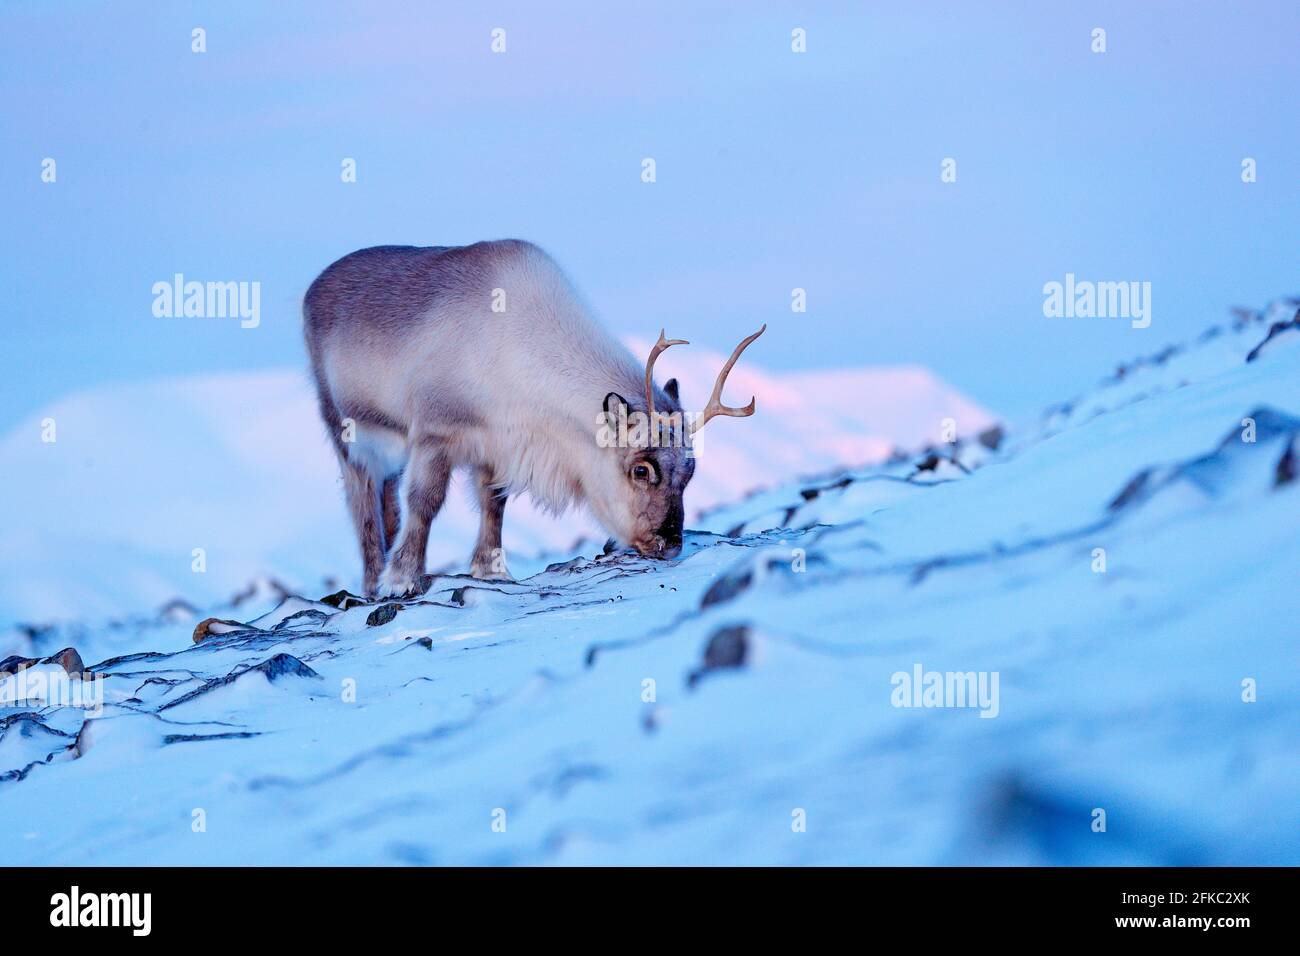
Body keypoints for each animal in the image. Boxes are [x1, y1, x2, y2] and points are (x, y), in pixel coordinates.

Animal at [303, 240, 765, 598]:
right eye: (640, 469)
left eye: (690, 471)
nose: (670, 546)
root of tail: (313, 287)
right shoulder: (436, 431)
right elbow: (425, 503)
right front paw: (400, 580)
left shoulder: (498, 446)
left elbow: (494, 505)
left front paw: (492, 572)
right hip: (342, 427)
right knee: (362, 502)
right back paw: (370, 583)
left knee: (387, 499)